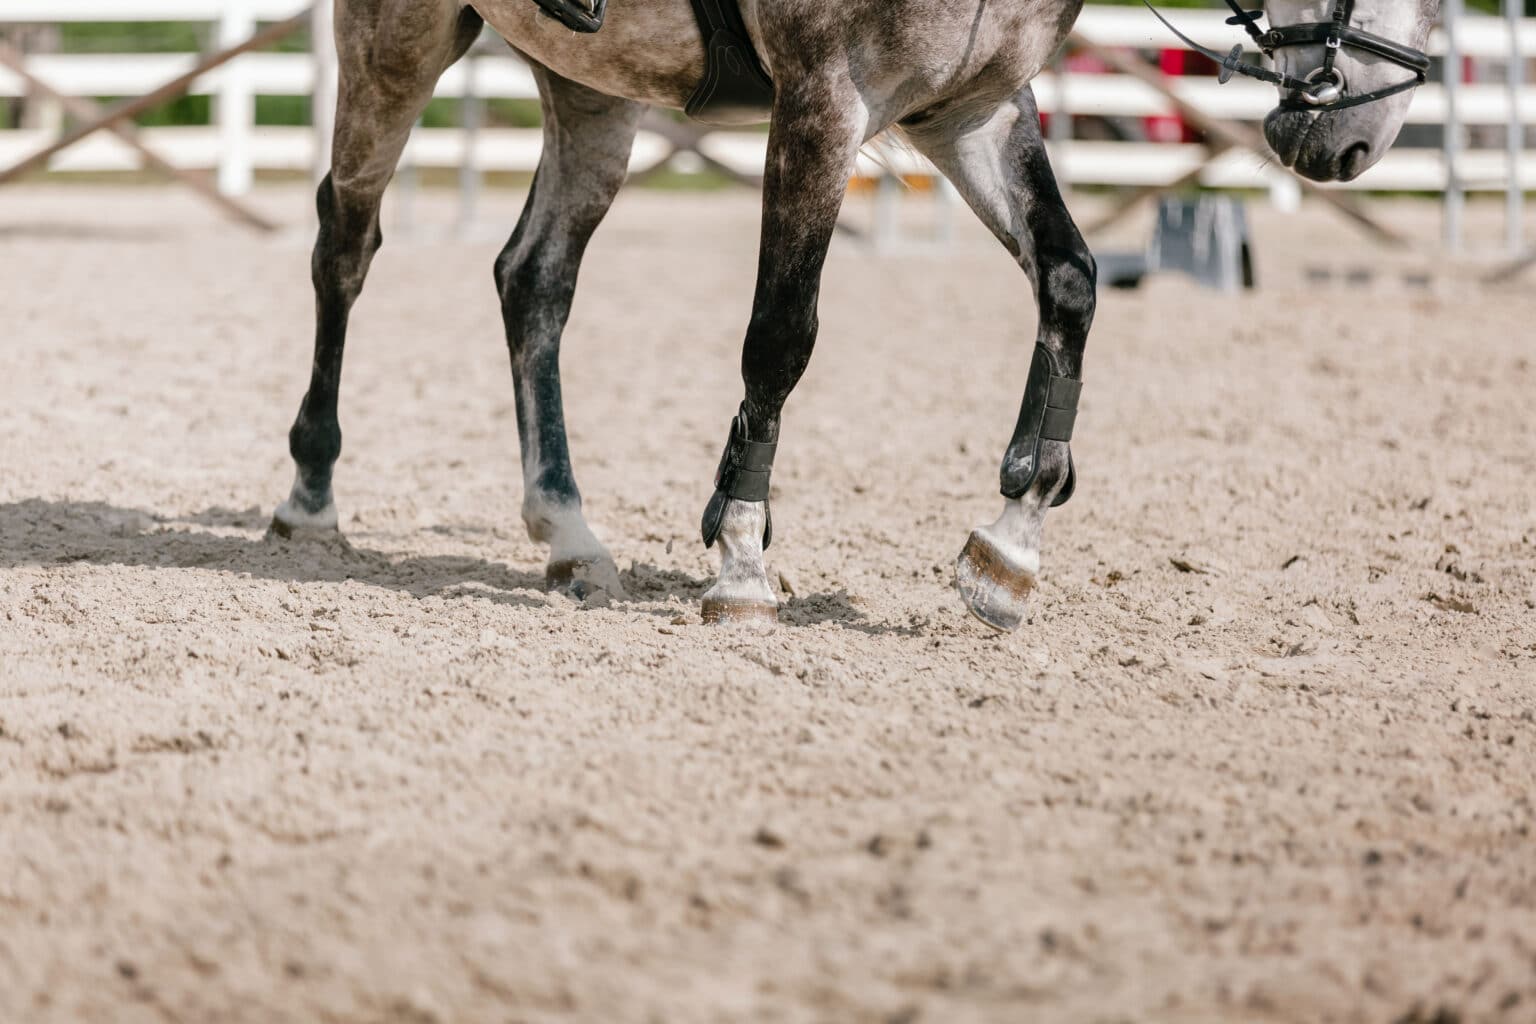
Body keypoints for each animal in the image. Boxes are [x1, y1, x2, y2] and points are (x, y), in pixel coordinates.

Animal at [270, 0, 1440, 630]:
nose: (1351, 140)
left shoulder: (971, 111)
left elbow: (1070, 280)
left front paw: (1010, 545)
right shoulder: (824, 105)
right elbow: (782, 337)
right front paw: (742, 560)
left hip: (592, 79)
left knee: (534, 279)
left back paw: (568, 533)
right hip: (397, 40)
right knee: (346, 245)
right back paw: (311, 497)